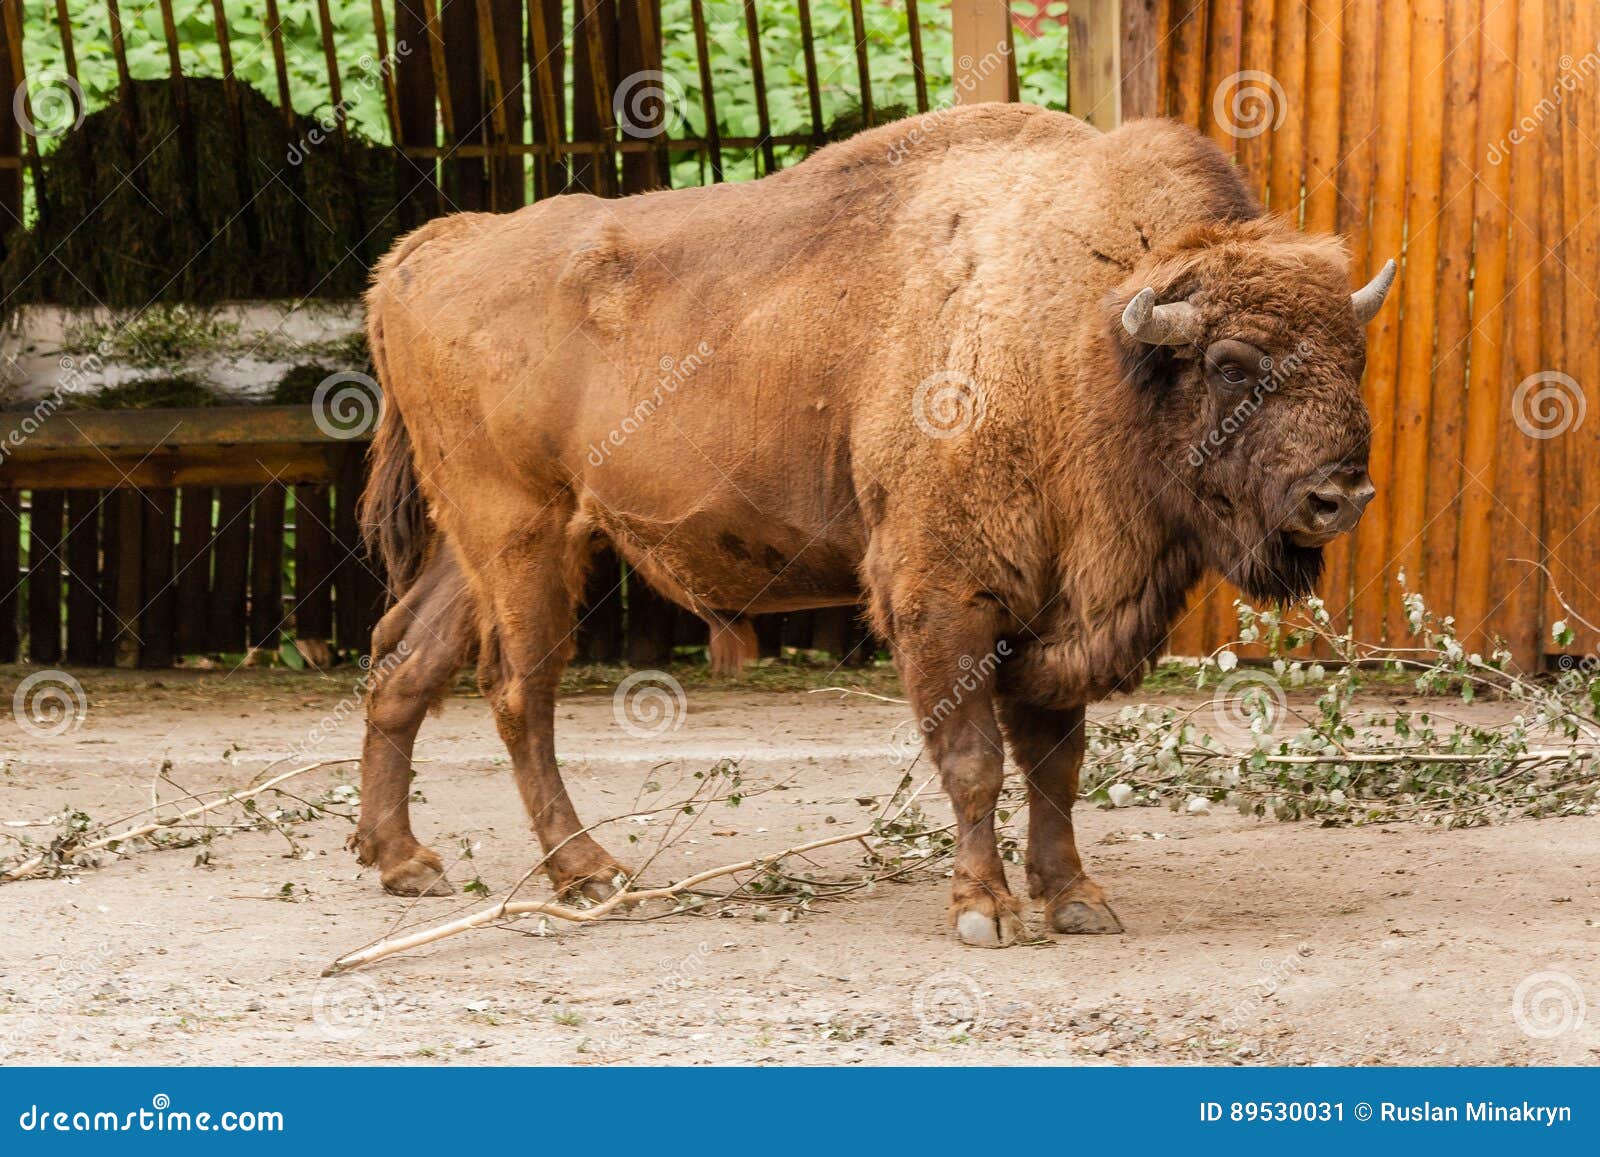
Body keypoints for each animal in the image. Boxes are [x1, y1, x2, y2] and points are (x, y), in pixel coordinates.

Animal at [352, 104, 1391, 945]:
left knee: (403, 661)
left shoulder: (1056, 608)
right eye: (1229, 361)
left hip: (473, 545)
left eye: (1353, 354)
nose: (1339, 496)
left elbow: (1056, 764)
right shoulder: (947, 597)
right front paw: (984, 912)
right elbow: (975, 761)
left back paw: (402, 859)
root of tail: (426, 252)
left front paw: (1077, 899)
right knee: (518, 693)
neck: (1084, 337)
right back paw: (587, 873)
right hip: (525, 533)